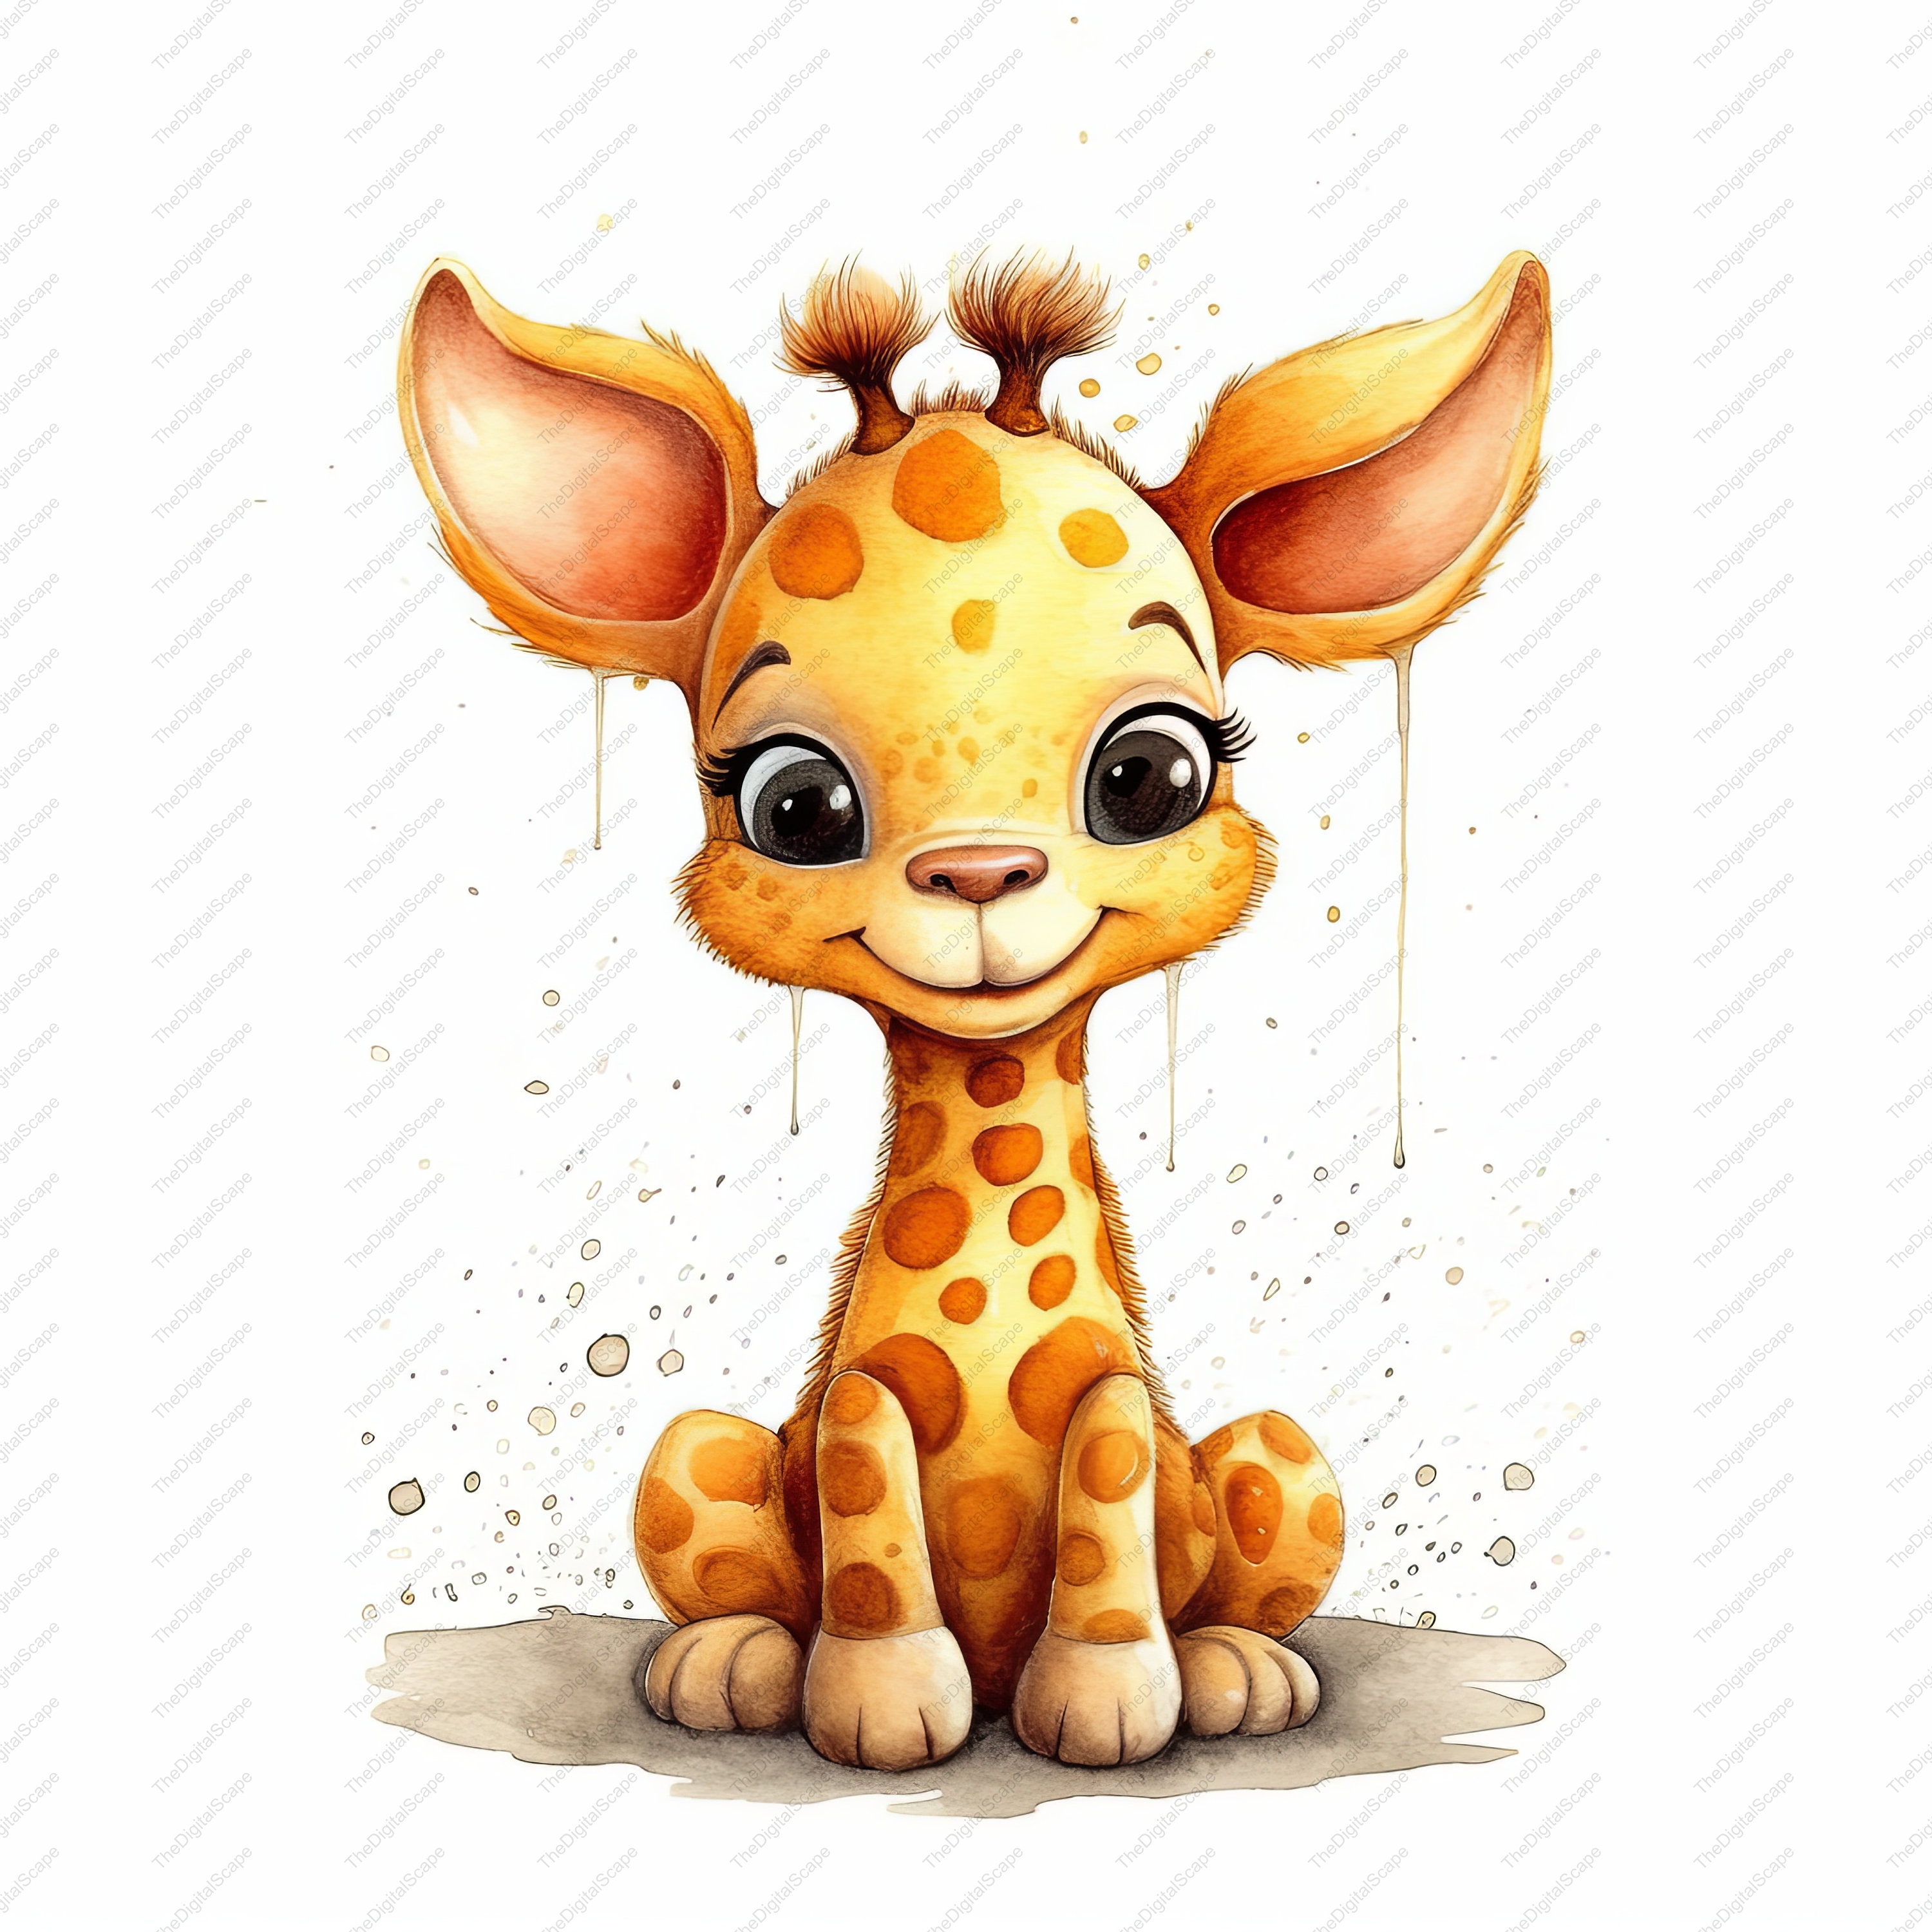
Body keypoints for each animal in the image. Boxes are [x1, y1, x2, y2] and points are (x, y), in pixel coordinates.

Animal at [395, 247, 1552, 1770]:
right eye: (794, 803)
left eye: (1151, 776)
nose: (981, 874)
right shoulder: (859, 1403)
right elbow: (863, 1487)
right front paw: (882, 1702)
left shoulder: (1112, 1401)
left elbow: (1113, 1475)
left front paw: (1111, 1697)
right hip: (698, 1452)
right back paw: (730, 1665)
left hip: (1280, 1461)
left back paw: (1241, 1673)